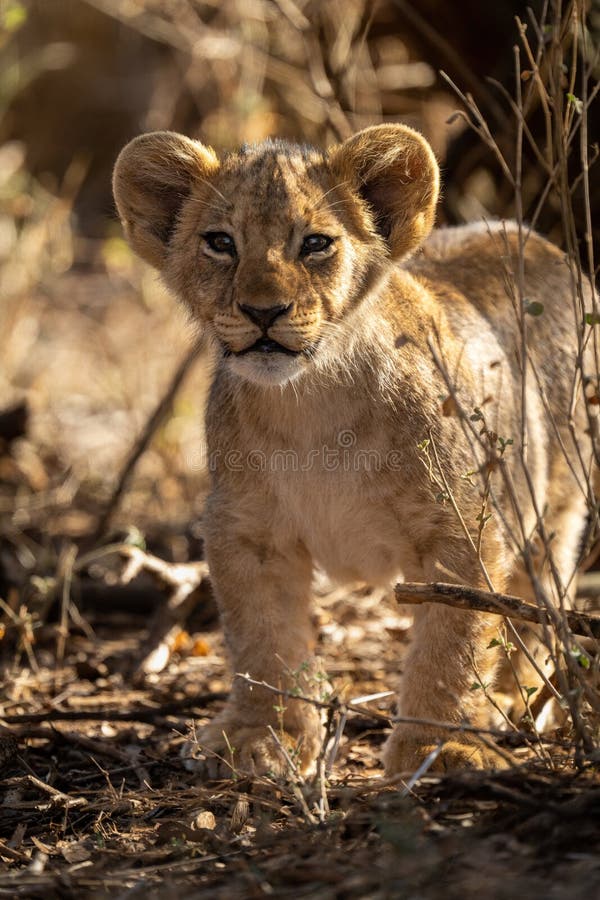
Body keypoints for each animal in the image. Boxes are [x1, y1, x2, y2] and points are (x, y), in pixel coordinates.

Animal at [113, 124, 594, 777]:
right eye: (220, 242)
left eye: (316, 244)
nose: (263, 311)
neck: (311, 406)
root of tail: (538, 242)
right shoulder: (246, 531)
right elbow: (262, 640)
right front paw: (263, 735)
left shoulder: (465, 529)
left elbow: (454, 644)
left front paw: (436, 748)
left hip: (558, 505)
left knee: (538, 601)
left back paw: (516, 701)